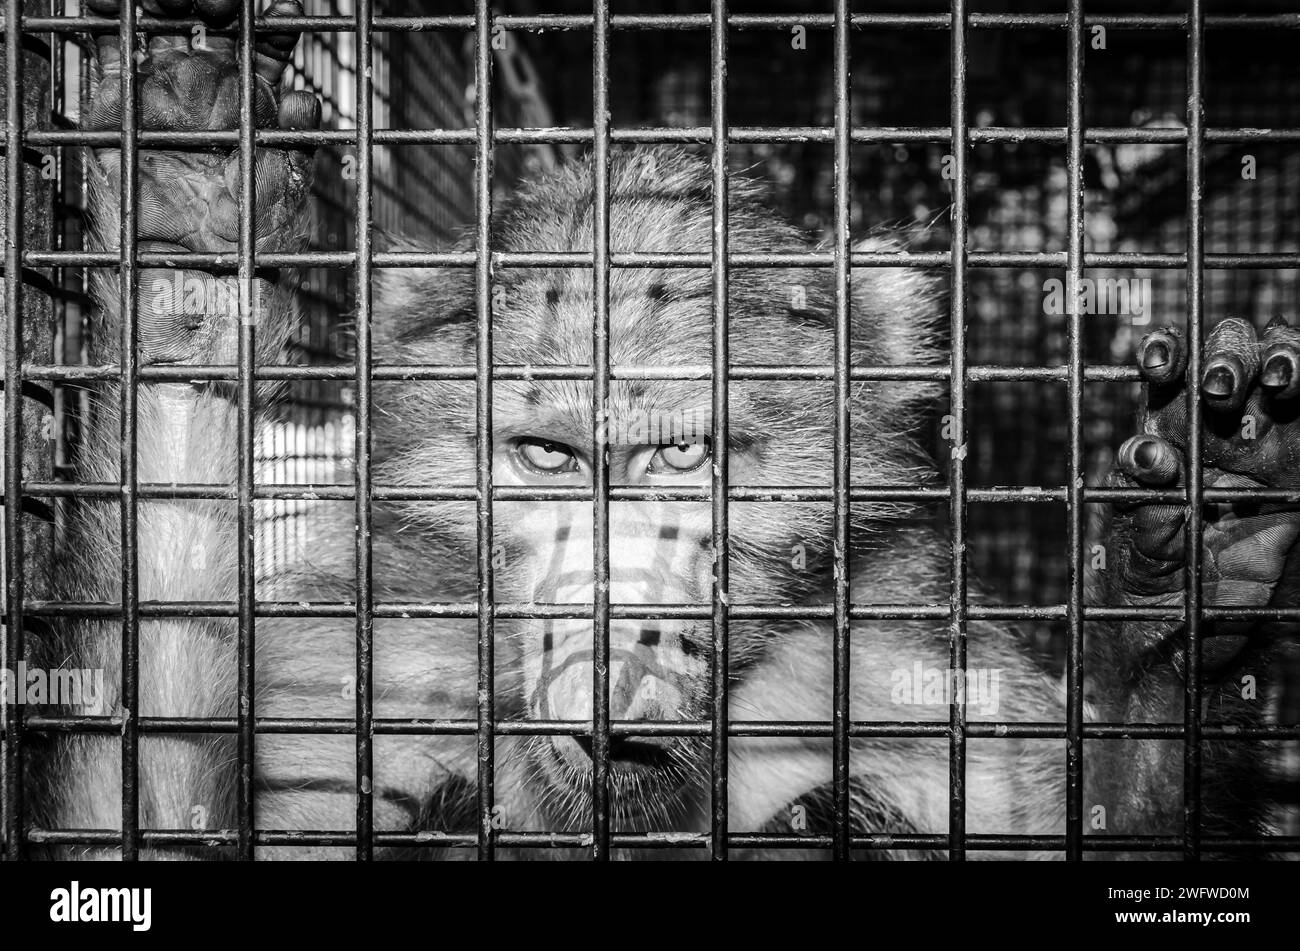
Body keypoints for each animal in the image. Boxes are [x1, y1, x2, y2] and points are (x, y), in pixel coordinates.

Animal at [24, 0, 1299, 860]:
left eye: (681, 457)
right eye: (545, 458)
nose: (610, 674)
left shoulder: (918, 676)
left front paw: (1169, 616)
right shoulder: (355, 668)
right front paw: (191, 266)